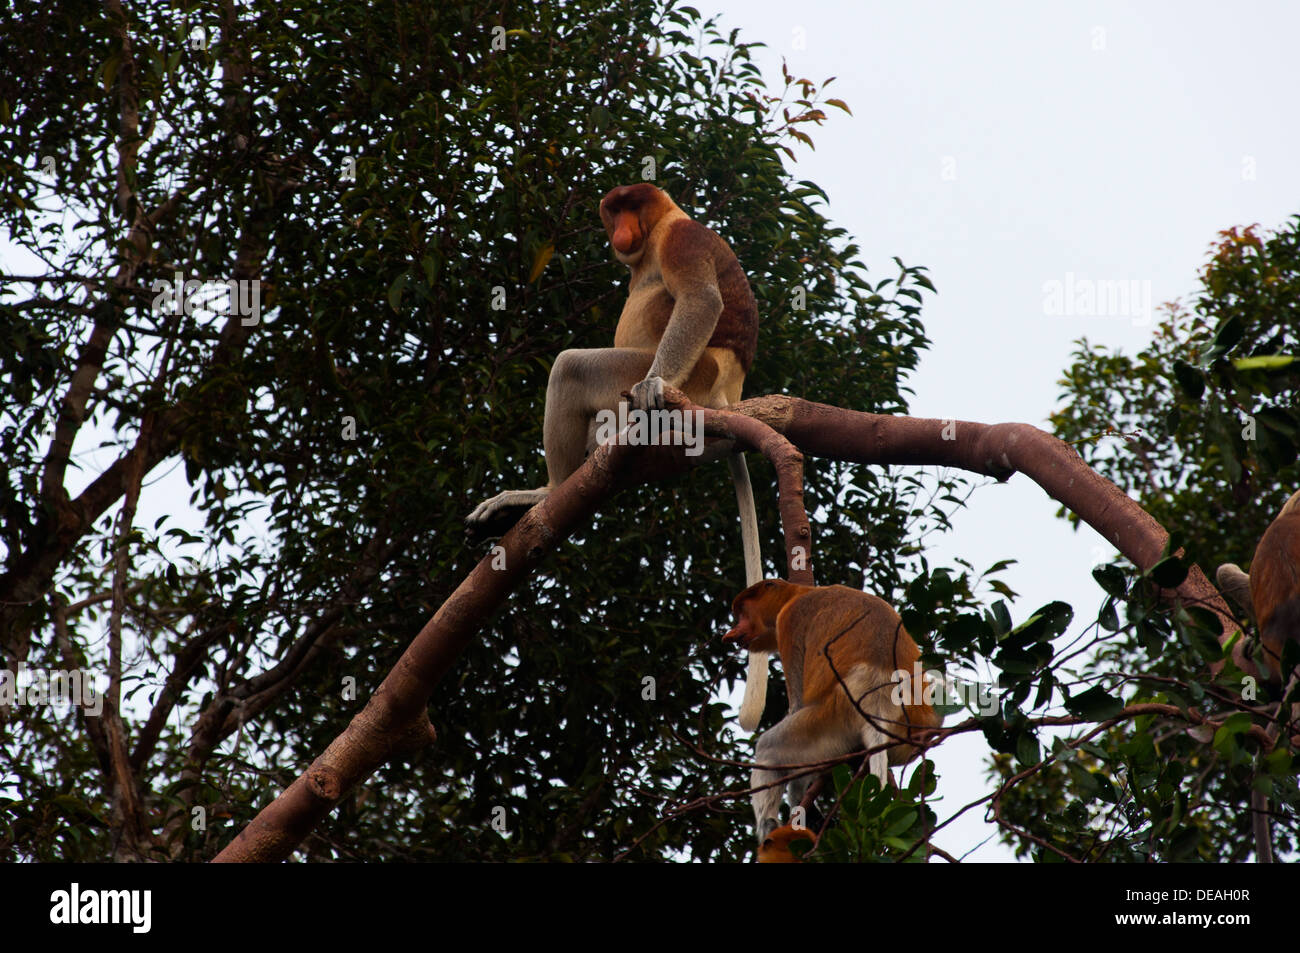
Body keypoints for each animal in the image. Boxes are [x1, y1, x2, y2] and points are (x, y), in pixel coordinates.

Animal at [467, 184, 770, 725]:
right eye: (614, 211)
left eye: (633, 207)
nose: (622, 230)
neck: (658, 230)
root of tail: (724, 397)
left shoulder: (683, 242)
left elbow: (700, 300)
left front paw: (651, 387)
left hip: (671, 375)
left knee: (571, 368)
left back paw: (547, 491)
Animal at [723, 579, 942, 841]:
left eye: (742, 612)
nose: (734, 630)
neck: (797, 593)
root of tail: (879, 696)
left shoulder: (789, 622)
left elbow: (797, 703)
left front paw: (798, 799)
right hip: (912, 731)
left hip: (830, 719)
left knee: (768, 749)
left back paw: (769, 827)